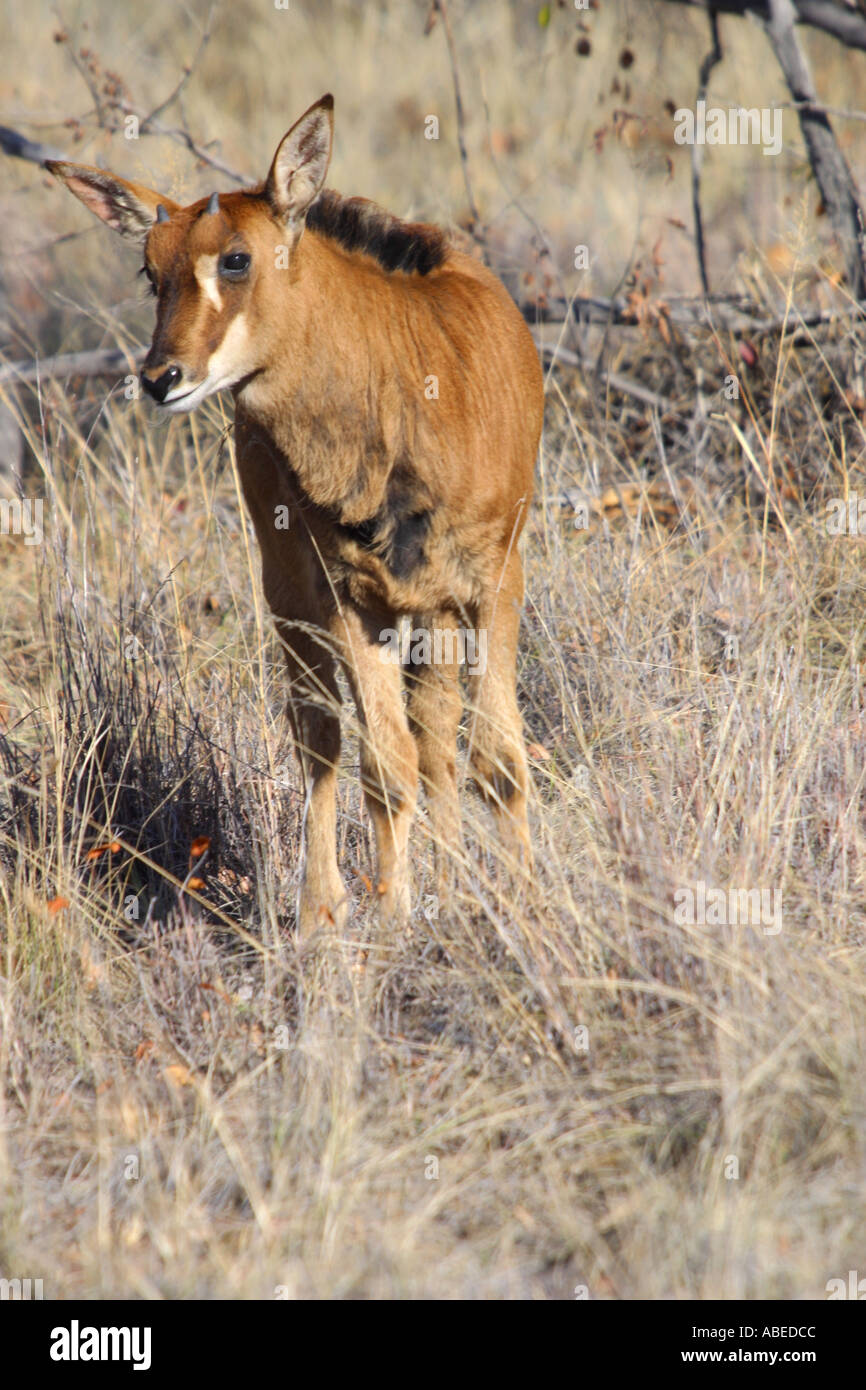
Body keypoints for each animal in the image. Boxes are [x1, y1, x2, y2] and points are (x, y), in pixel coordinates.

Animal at [48, 95, 544, 938]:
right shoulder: (349, 597)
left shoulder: (491, 585)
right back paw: (323, 913)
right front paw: (397, 920)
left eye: (236, 258)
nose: (161, 378)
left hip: (433, 610)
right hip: (292, 593)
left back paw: (447, 887)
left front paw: (520, 909)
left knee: (437, 737)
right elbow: (384, 766)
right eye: (151, 268)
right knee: (326, 739)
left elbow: (496, 761)